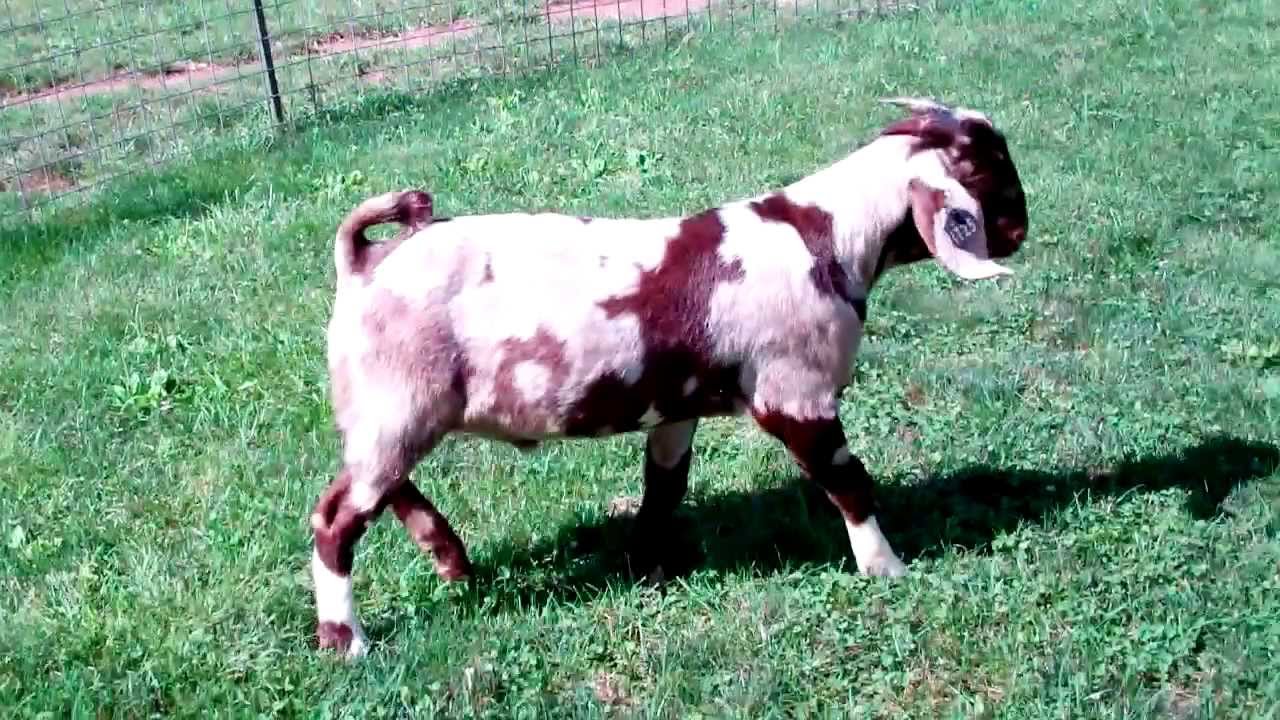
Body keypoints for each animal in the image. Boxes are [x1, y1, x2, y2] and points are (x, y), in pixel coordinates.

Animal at [310, 97, 1030, 658]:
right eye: (990, 168)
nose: (1021, 232)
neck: (826, 234)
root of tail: (363, 262)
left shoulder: (677, 404)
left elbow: (664, 486)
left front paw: (647, 566)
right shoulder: (796, 392)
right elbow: (848, 481)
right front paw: (887, 569)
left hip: (384, 410)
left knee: (373, 486)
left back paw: (451, 559)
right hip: (400, 402)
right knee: (336, 517)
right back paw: (348, 640)